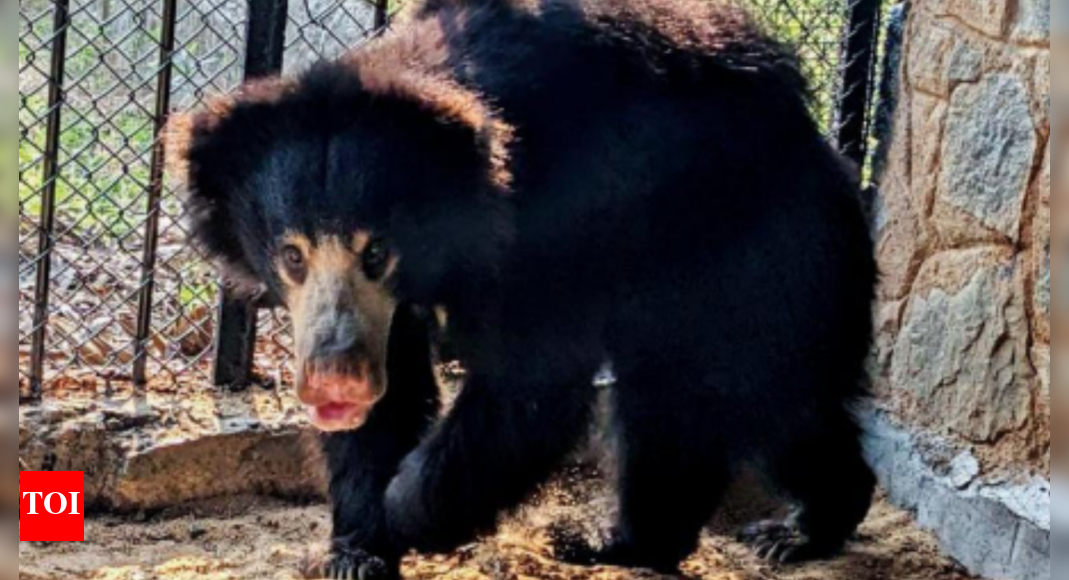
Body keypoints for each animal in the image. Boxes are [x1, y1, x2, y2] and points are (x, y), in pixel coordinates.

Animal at [167, 0, 878, 578]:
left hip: (757, 247)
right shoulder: (384, 312)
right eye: (292, 254)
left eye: (376, 251)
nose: (335, 383)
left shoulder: (546, 232)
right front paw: (356, 548)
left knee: (756, 387)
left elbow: (530, 384)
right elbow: (392, 392)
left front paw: (403, 512)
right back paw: (639, 544)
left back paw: (793, 530)